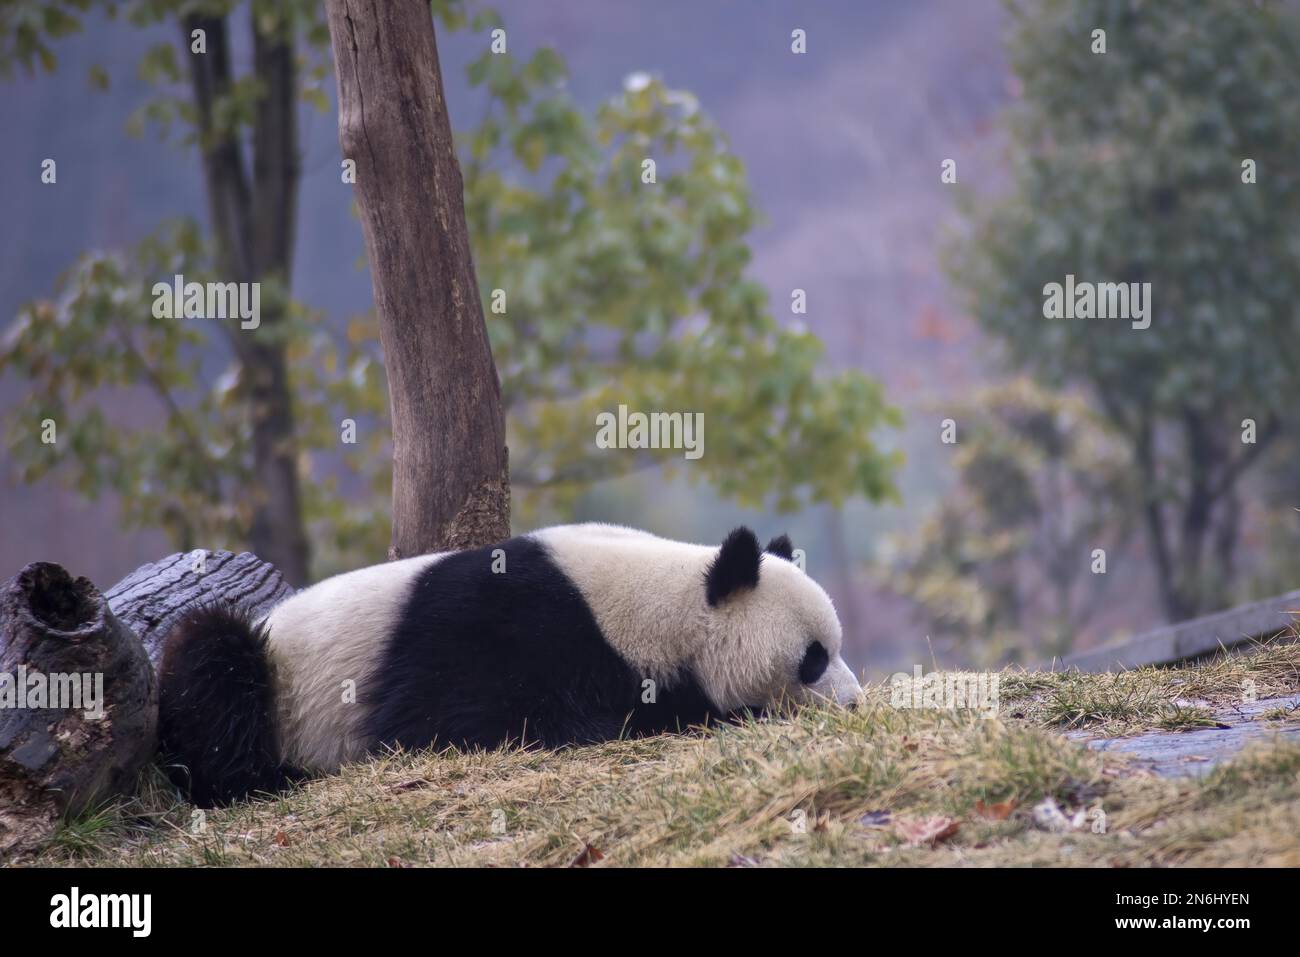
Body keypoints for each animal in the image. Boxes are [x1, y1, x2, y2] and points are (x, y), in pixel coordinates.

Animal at [157, 523, 861, 806]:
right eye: (813, 658)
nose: (855, 703)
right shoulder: (495, 626)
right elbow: (448, 721)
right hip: (275, 671)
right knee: (212, 663)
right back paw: (264, 776)